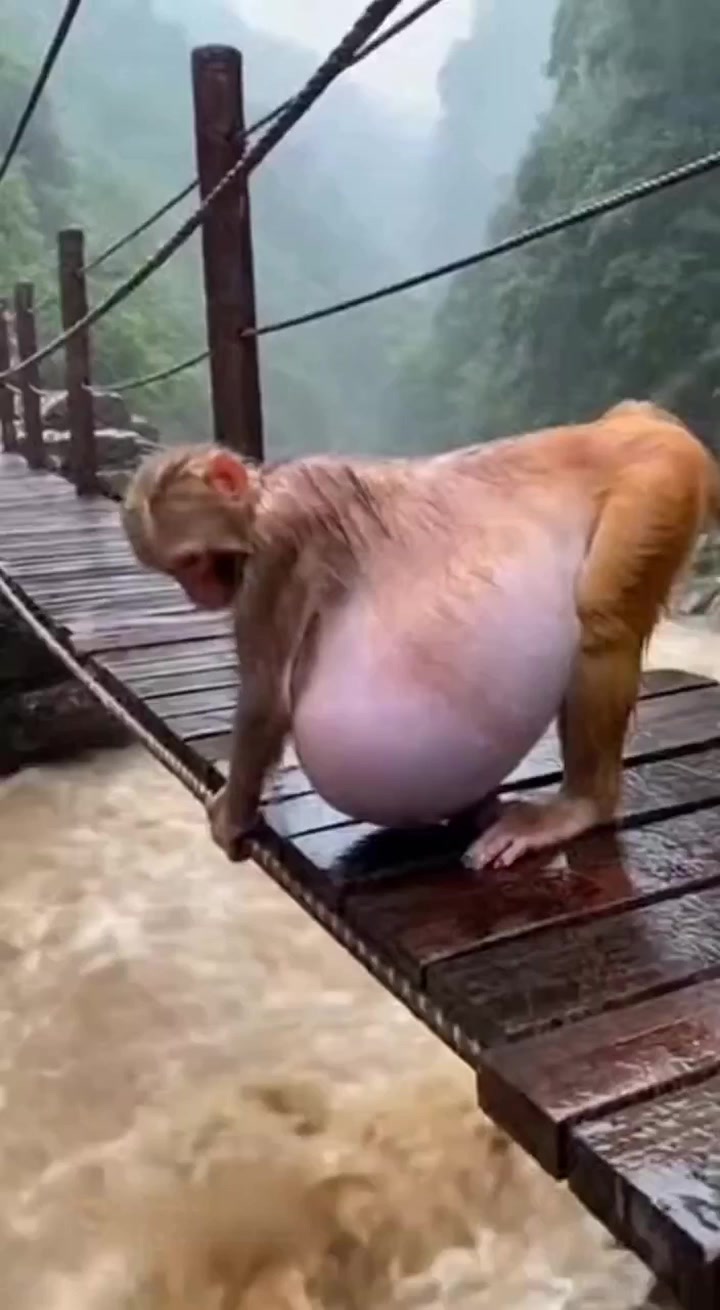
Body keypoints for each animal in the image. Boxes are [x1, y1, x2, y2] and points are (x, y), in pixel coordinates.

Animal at [122, 401, 719, 870]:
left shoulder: (280, 544)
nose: (198, 593)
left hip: (657, 476)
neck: (265, 496)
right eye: (180, 572)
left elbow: (268, 699)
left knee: (601, 614)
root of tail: (631, 421)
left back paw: (583, 804)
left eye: (194, 561)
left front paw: (231, 813)